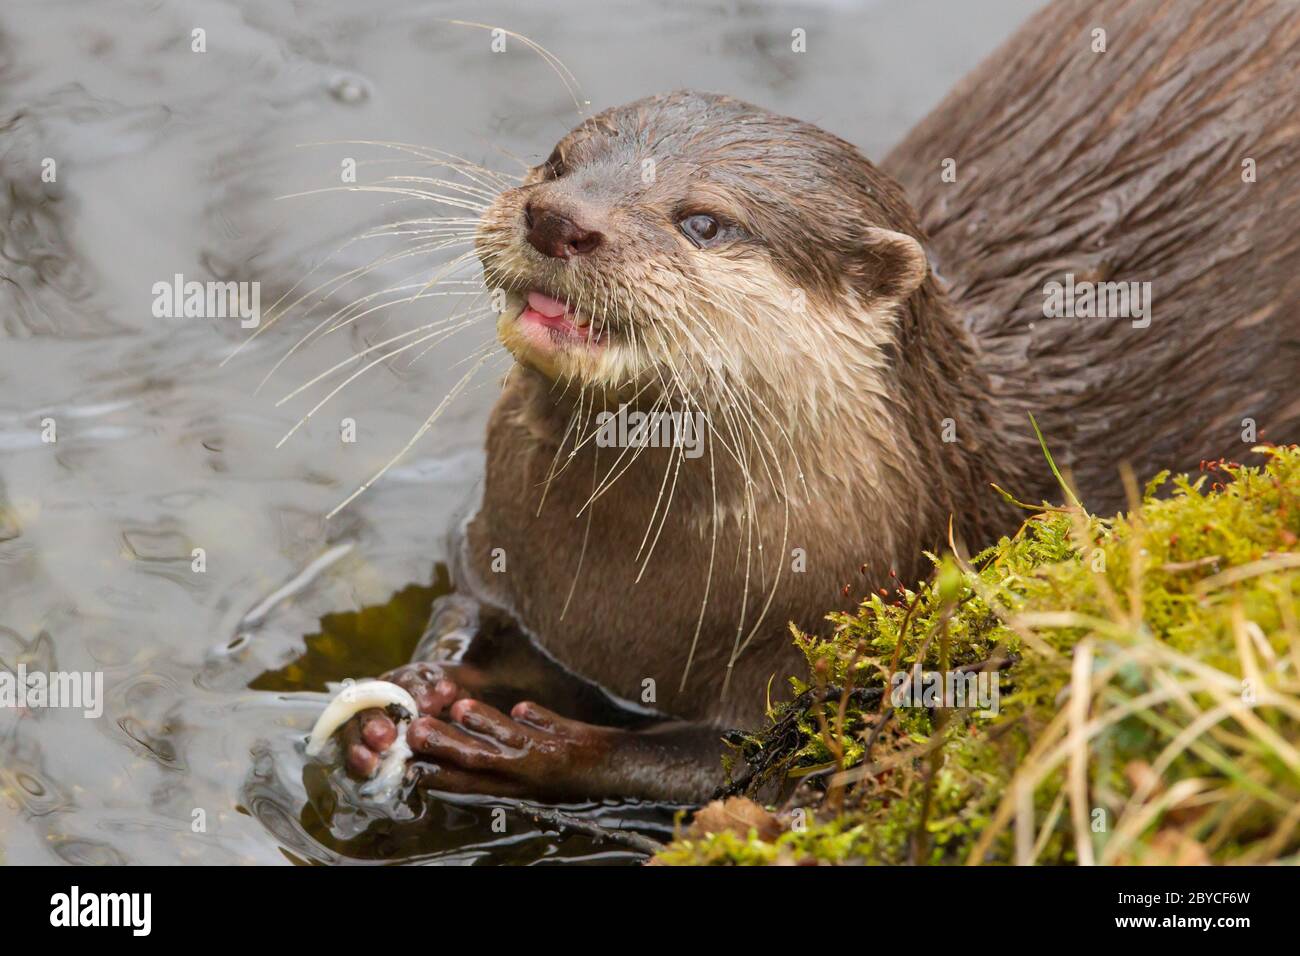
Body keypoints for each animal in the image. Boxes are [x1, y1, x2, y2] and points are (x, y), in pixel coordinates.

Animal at [335, 0, 1300, 803]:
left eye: (704, 222)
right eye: (557, 161)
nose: (557, 219)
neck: (620, 592)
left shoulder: (838, 621)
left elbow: (737, 764)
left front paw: (533, 746)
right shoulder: (499, 548)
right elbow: (472, 608)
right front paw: (418, 685)